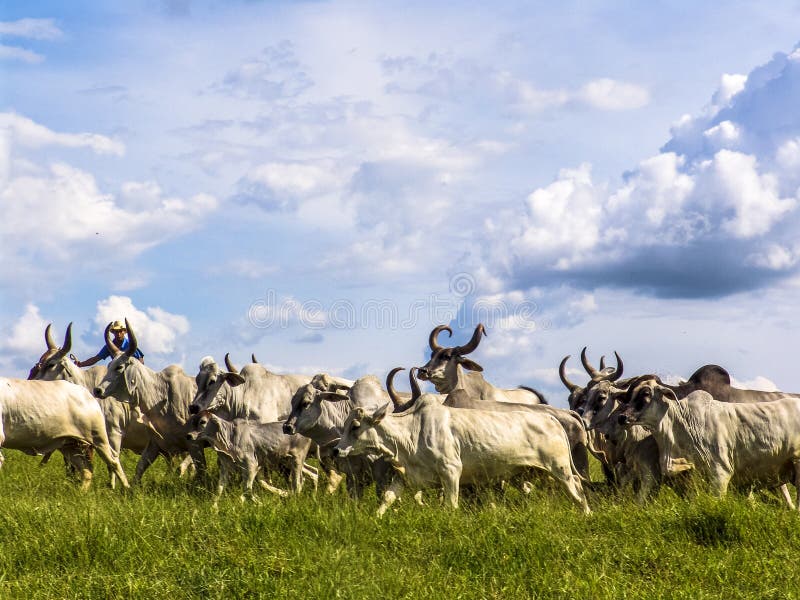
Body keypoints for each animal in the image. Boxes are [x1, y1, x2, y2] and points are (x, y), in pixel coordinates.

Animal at [0, 377, 129, 489]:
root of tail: (85, 393)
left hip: (98, 437)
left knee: (114, 462)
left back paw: (126, 489)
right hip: (69, 445)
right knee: (86, 469)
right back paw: (81, 492)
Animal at [93, 320, 207, 484]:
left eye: (119, 367)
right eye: (109, 366)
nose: (97, 390)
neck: (161, 397)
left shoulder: (194, 444)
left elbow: (196, 470)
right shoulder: (155, 444)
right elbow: (139, 469)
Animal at [333, 385, 590, 517]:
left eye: (355, 426)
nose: (335, 451)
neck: (412, 433)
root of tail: (552, 418)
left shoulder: (451, 471)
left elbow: (451, 504)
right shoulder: (404, 476)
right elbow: (386, 499)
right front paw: (375, 519)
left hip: (560, 468)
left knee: (577, 488)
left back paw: (587, 513)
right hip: (540, 473)